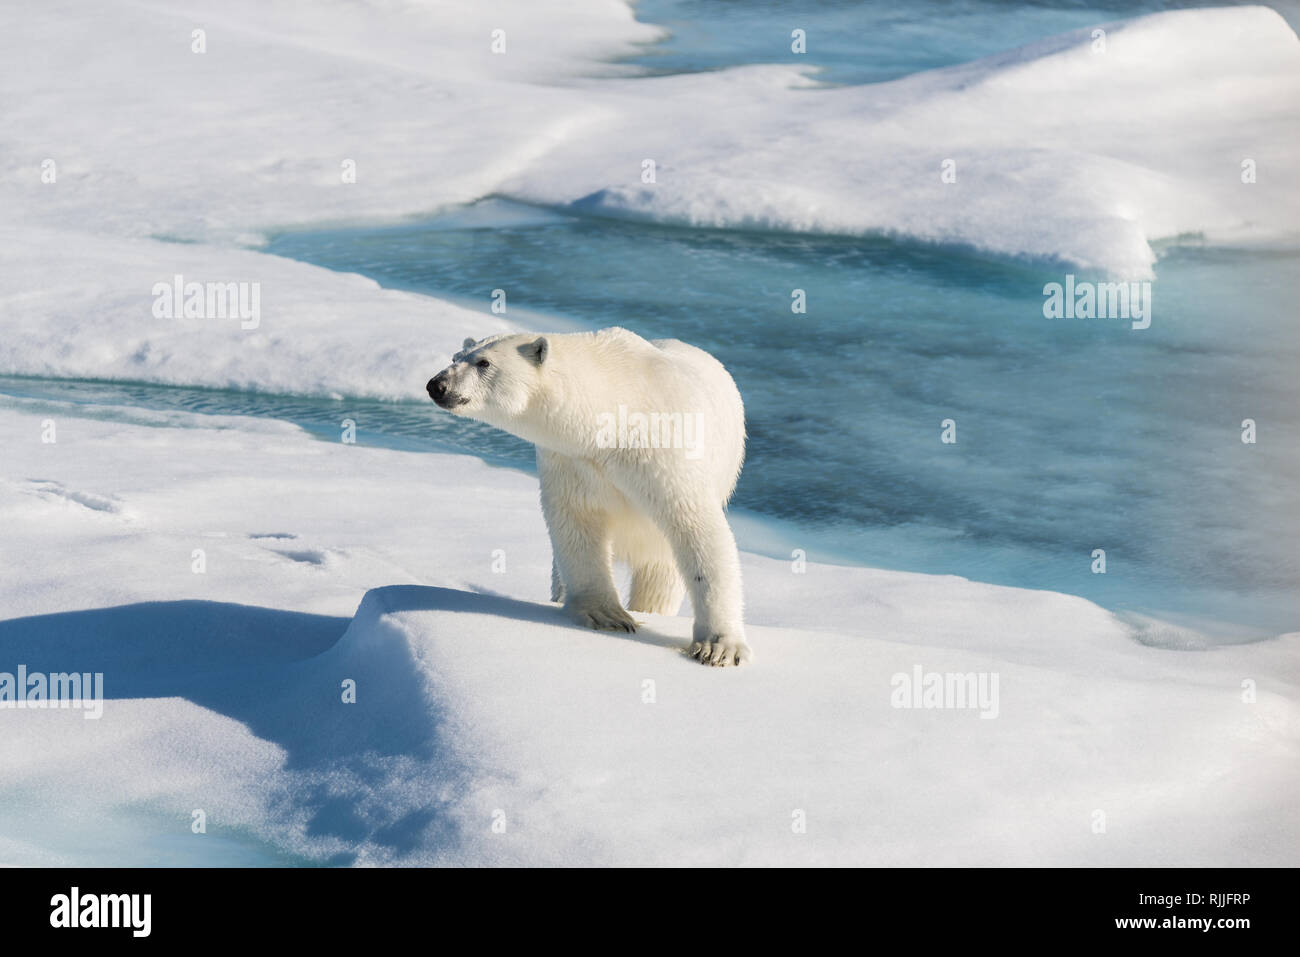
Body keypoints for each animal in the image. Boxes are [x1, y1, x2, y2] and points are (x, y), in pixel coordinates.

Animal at [427, 326, 751, 666]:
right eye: (455, 357)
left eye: (484, 363)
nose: (437, 385)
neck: (617, 407)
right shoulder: (572, 460)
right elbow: (577, 524)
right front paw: (606, 615)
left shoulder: (664, 449)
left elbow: (696, 526)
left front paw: (718, 647)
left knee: (660, 574)